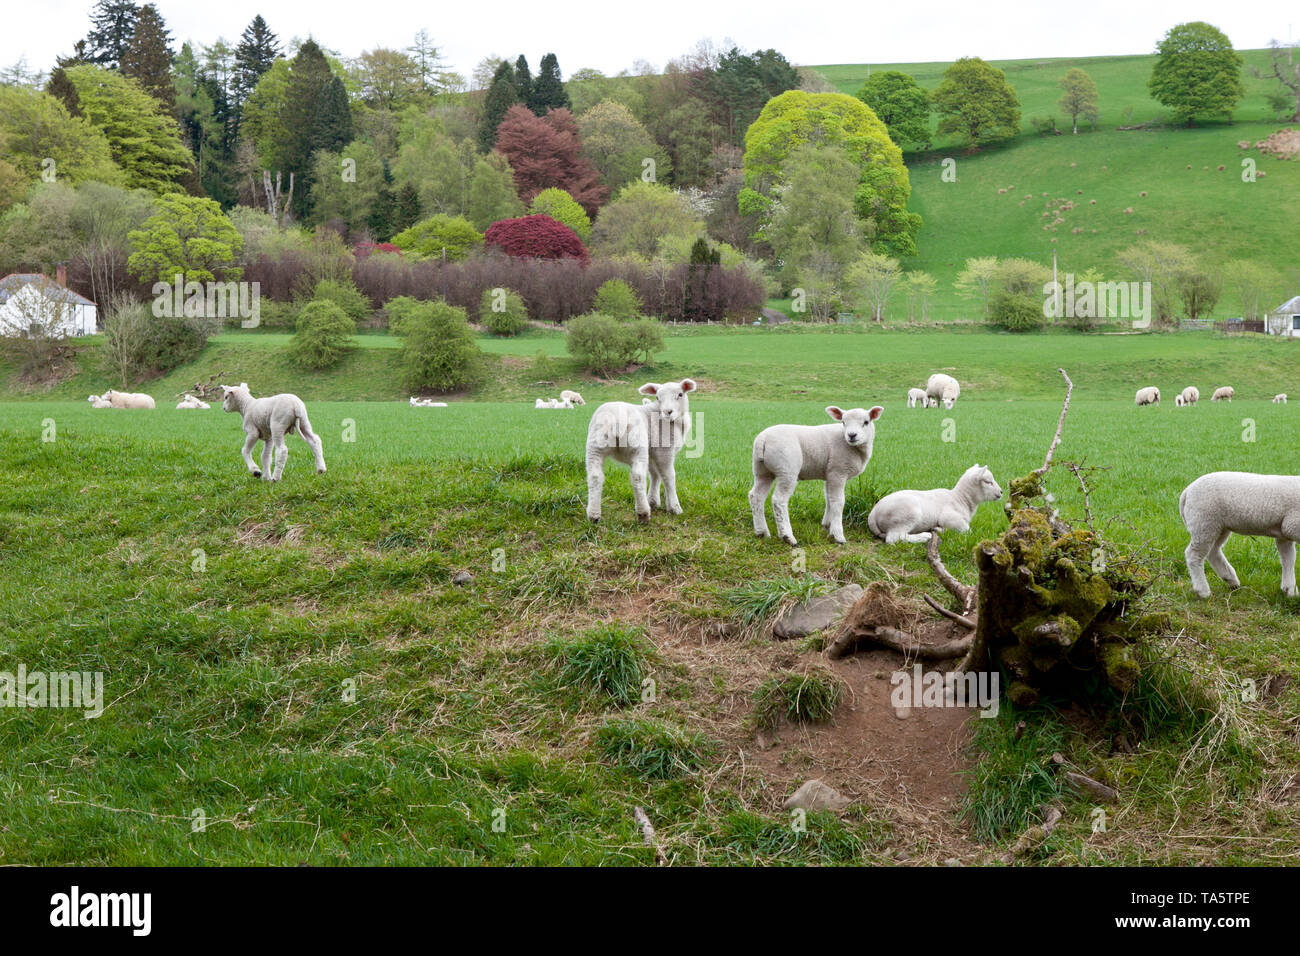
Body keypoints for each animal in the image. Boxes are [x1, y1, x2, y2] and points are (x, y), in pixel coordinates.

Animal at [585, 377, 696, 522]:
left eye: (680, 394)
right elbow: (668, 476)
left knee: (595, 476)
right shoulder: (663, 450)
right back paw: (643, 513)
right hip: (637, 445)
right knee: (638, 476)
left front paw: (653, 501)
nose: (668, 412)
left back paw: (593, 514)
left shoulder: (652, 452)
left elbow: (655, 474)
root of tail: (617, 418)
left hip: (595, 445)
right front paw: (674, 507)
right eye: (657, 397)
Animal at [754, 403, 883, 546]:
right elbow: (838, 501)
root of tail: (762, 439)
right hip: (787, 469)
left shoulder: (830, 473)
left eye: (866, 422)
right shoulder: (838, 472)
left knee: (756, 496)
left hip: (762, 470)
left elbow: (828, 498)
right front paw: (838, 535)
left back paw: (761, 532)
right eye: (843, 422)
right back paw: (787, 536)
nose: (852, 435)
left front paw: (827, 524)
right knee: (779, 500)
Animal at [873, 465, 1003, 541]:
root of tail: (873, 513)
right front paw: (939, 530)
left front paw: (939, 530)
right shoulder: (949, 517)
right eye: (988, 482)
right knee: (894, 538)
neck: (960, 498)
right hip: (906, 515)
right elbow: (968, 531)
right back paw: (924, 536)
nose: (1001, 492)